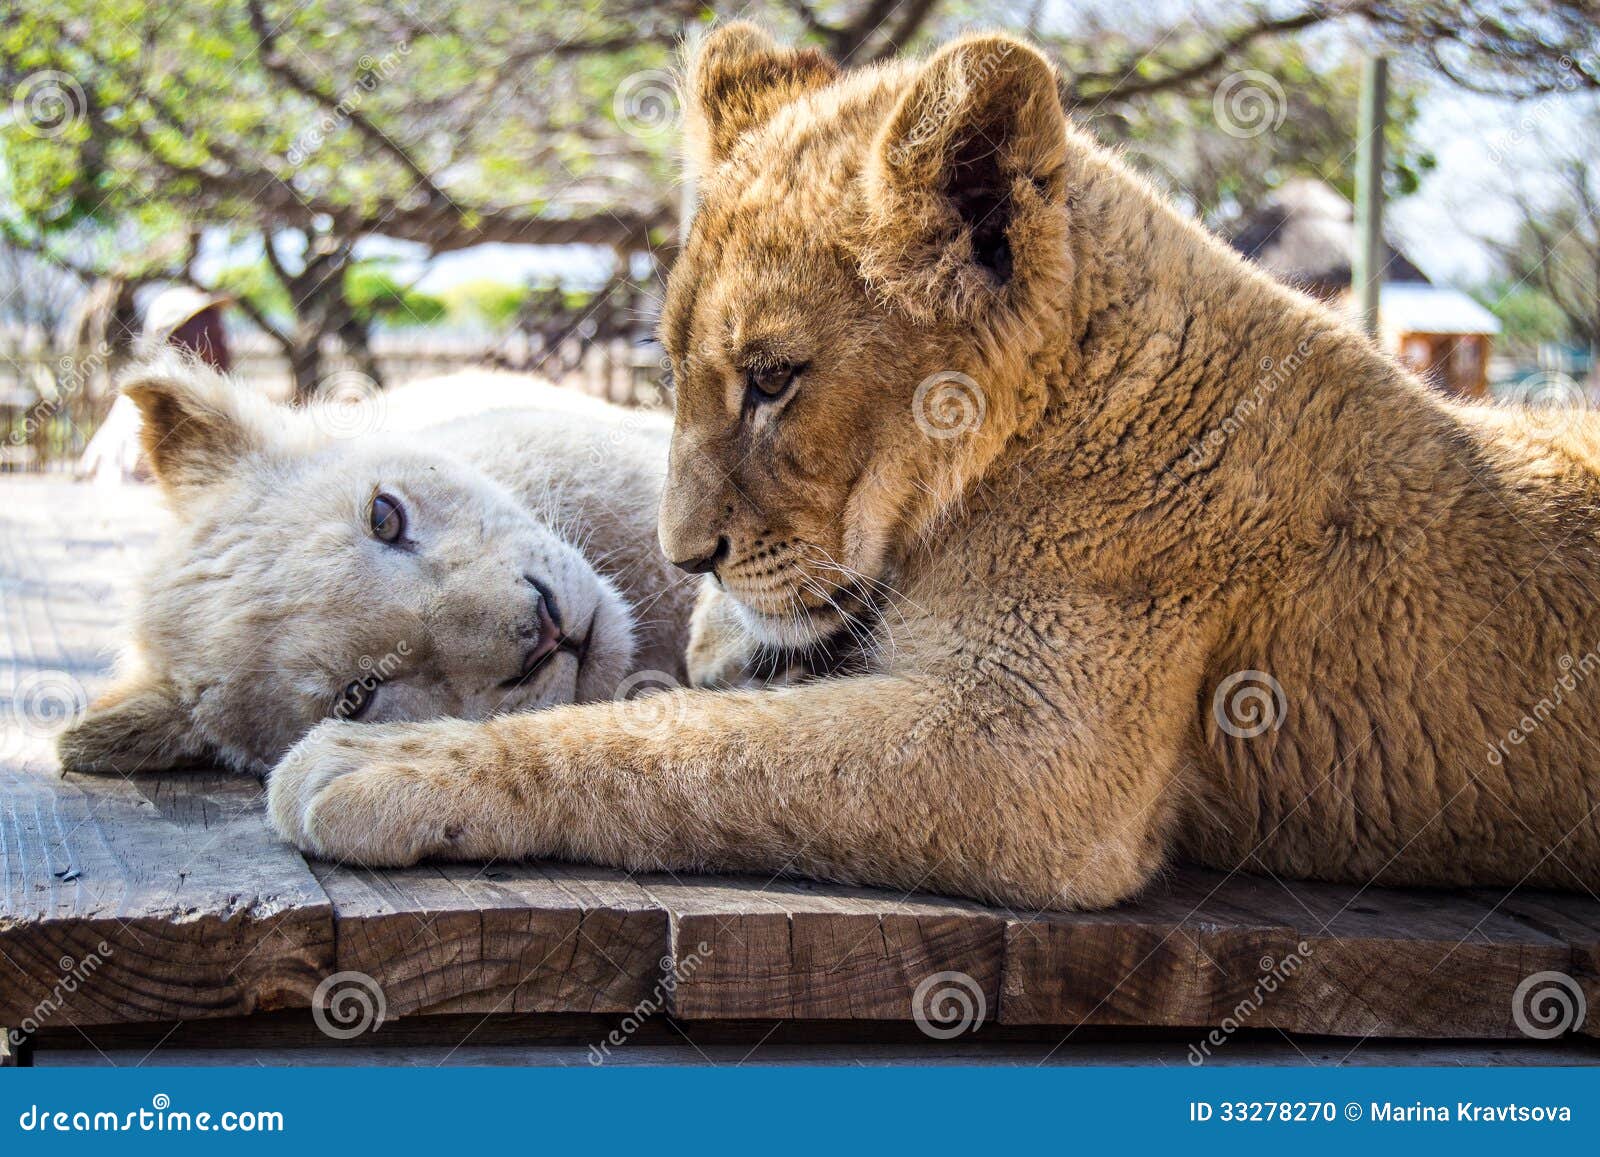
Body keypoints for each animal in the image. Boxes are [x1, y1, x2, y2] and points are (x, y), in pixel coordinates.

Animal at [267, 24, 1600, 910]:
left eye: (771, 378)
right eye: (675, 372)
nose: (683, 555)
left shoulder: (1031, 755)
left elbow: (677, 744)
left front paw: (376, 764)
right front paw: (721, 635)